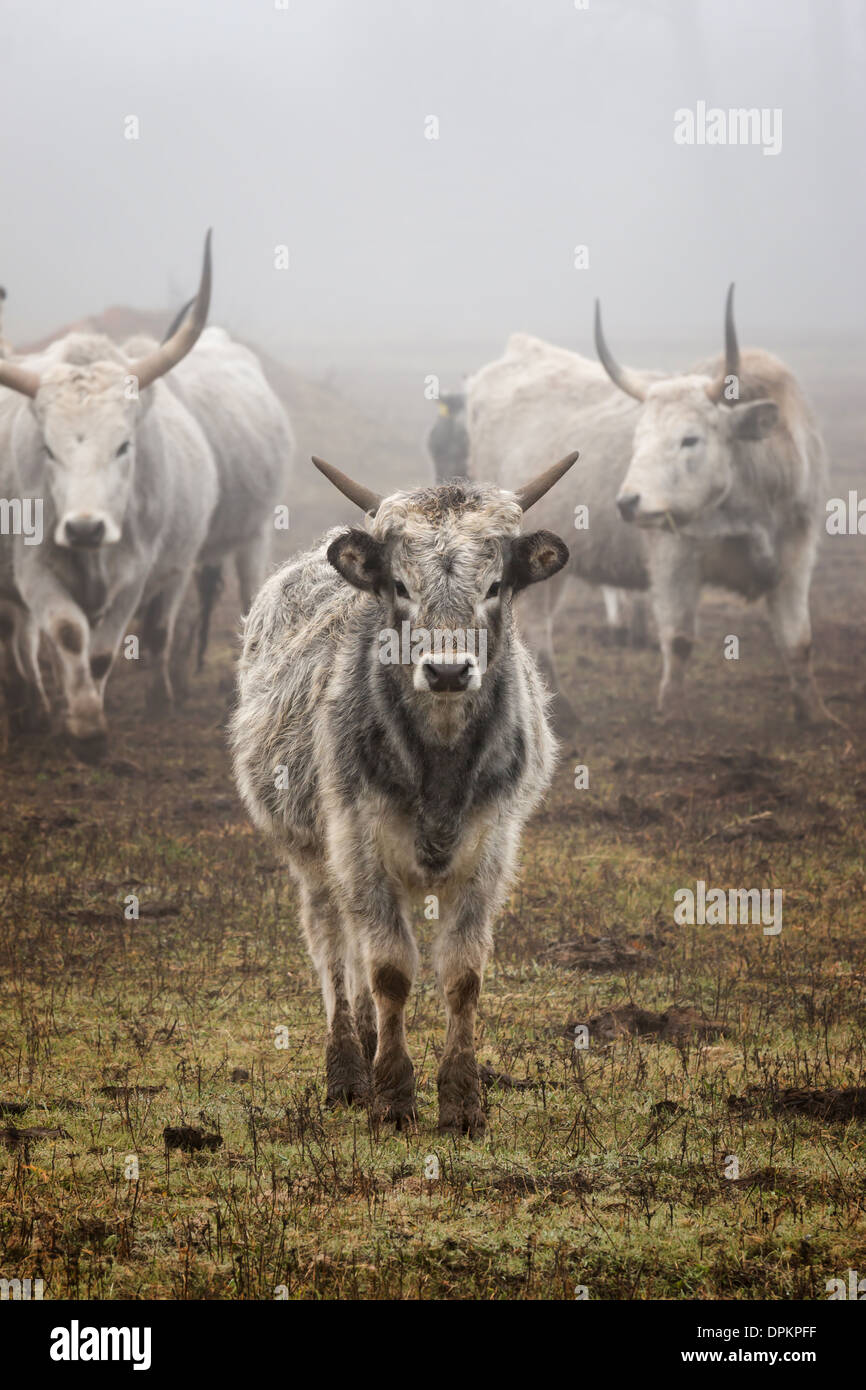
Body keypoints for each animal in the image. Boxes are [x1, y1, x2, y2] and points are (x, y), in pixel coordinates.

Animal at [0, 233, 218, 756]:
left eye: (123, 445)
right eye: (47, 448)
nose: (85, 528)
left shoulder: (135, 575)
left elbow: (98, 652)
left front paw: (91, 729)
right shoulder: (33, 571)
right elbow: (67, 633)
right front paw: (82, 725)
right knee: (16, 637)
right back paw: (25, 707)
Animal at [230, 451, 578, 1135]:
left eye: (494, 586)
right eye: (400, 585)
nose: (446, 670)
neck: (439, 760)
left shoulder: (491, 850)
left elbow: (463, 975)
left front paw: (463, 1102)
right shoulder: (358, 842)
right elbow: (389, 971)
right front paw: (392, 1098)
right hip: (312, 853)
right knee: (334, 945)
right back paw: (347, 1069)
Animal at [466, 288, 831, 728]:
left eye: (690, 439)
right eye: (638, 438)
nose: (628, 502)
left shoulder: (796, 553)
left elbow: (799, 641)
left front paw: (815, 713)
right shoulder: (675, 557)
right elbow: (679, 638)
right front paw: (673, 710)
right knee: (535, 626)